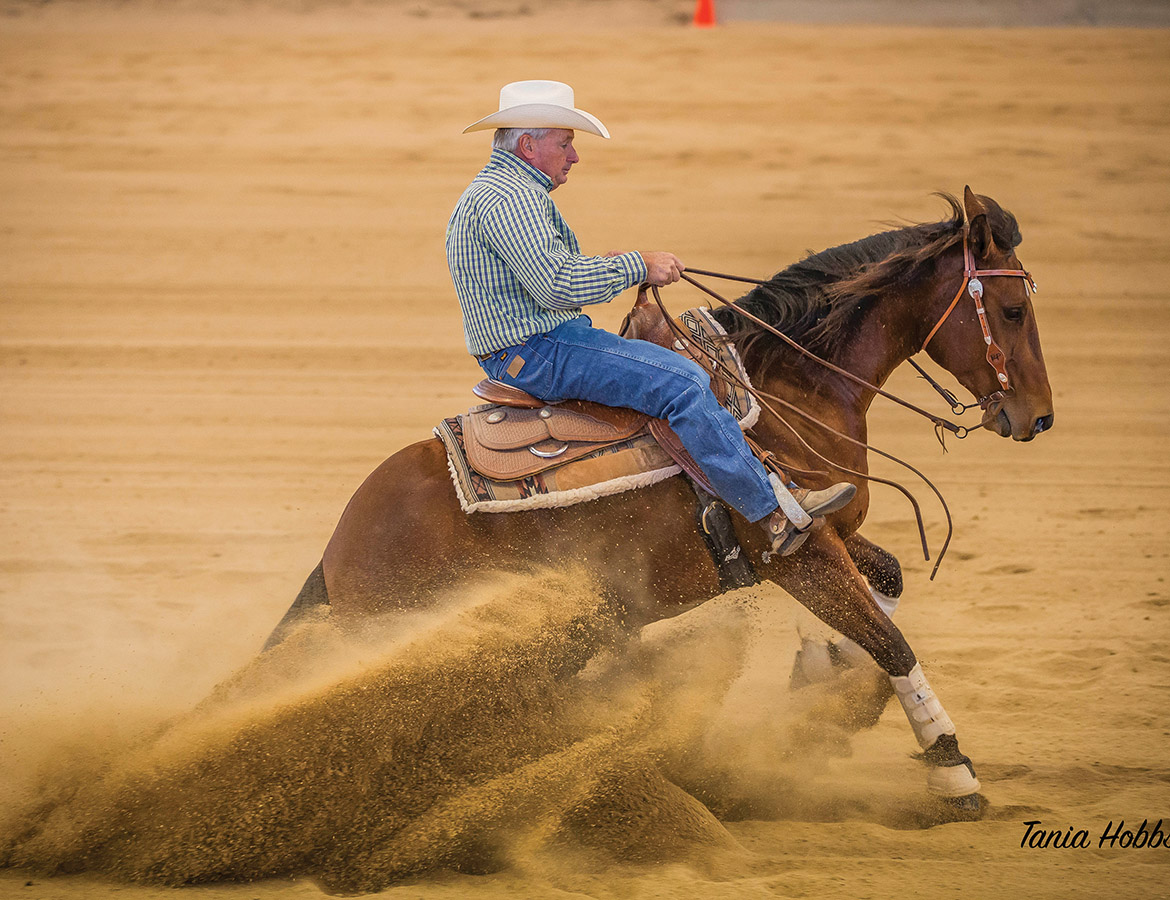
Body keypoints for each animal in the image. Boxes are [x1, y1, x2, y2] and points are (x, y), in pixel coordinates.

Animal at [264, 187, 1053, 808]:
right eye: (1013, 309)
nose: (1039, 416)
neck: (785, 390)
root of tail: (337, 553)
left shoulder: (833, 527)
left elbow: (886, 584)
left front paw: (827, 683)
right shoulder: (793, 554)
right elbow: (891, 641)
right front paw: (952, 771)